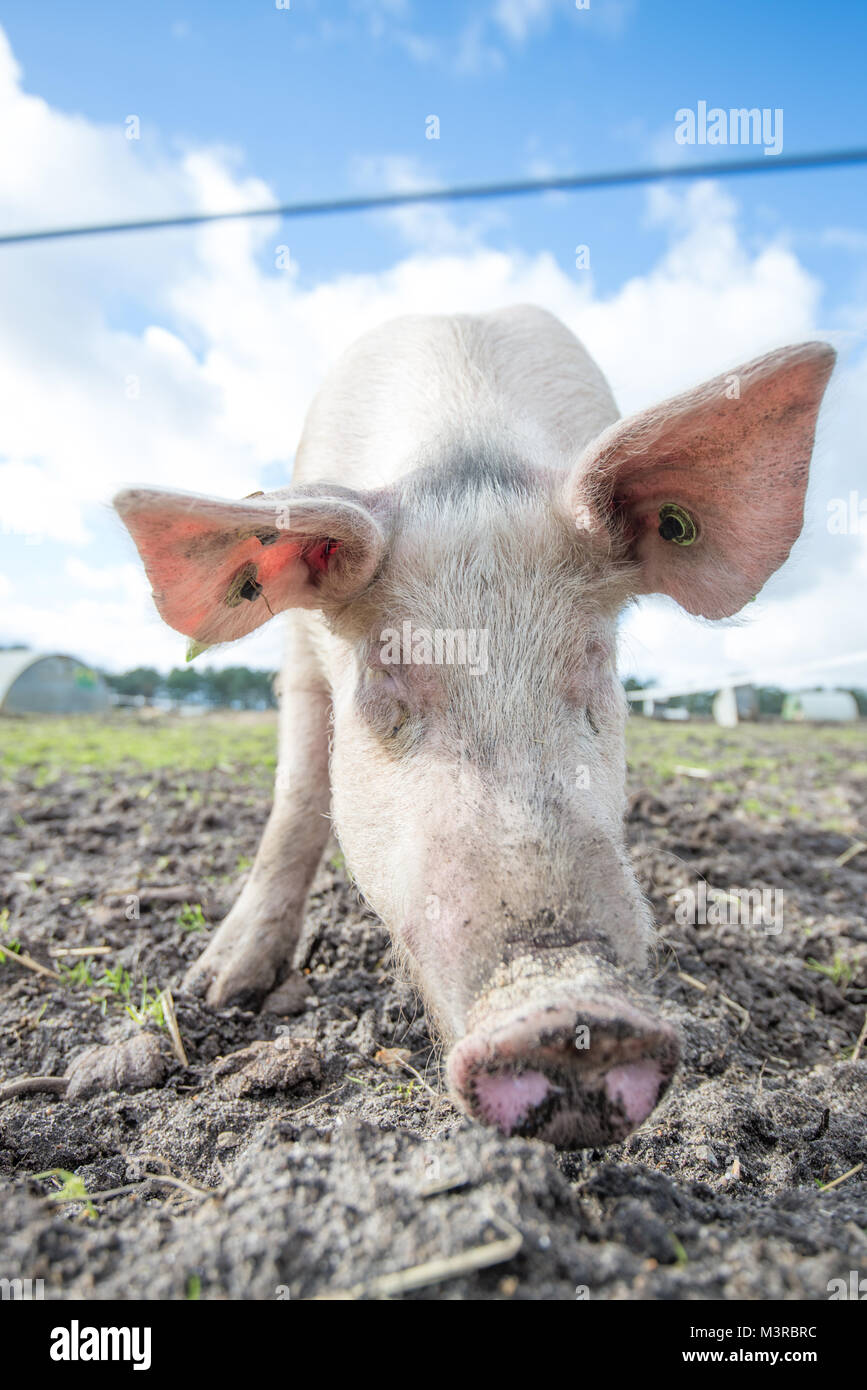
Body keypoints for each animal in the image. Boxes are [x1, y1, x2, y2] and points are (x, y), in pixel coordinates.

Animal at [114, 306, 834, 1148]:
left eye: (593, 662)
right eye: (384, 678)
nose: (567, 1013)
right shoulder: (298, 648)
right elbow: (298, 796)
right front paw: (219, 991)